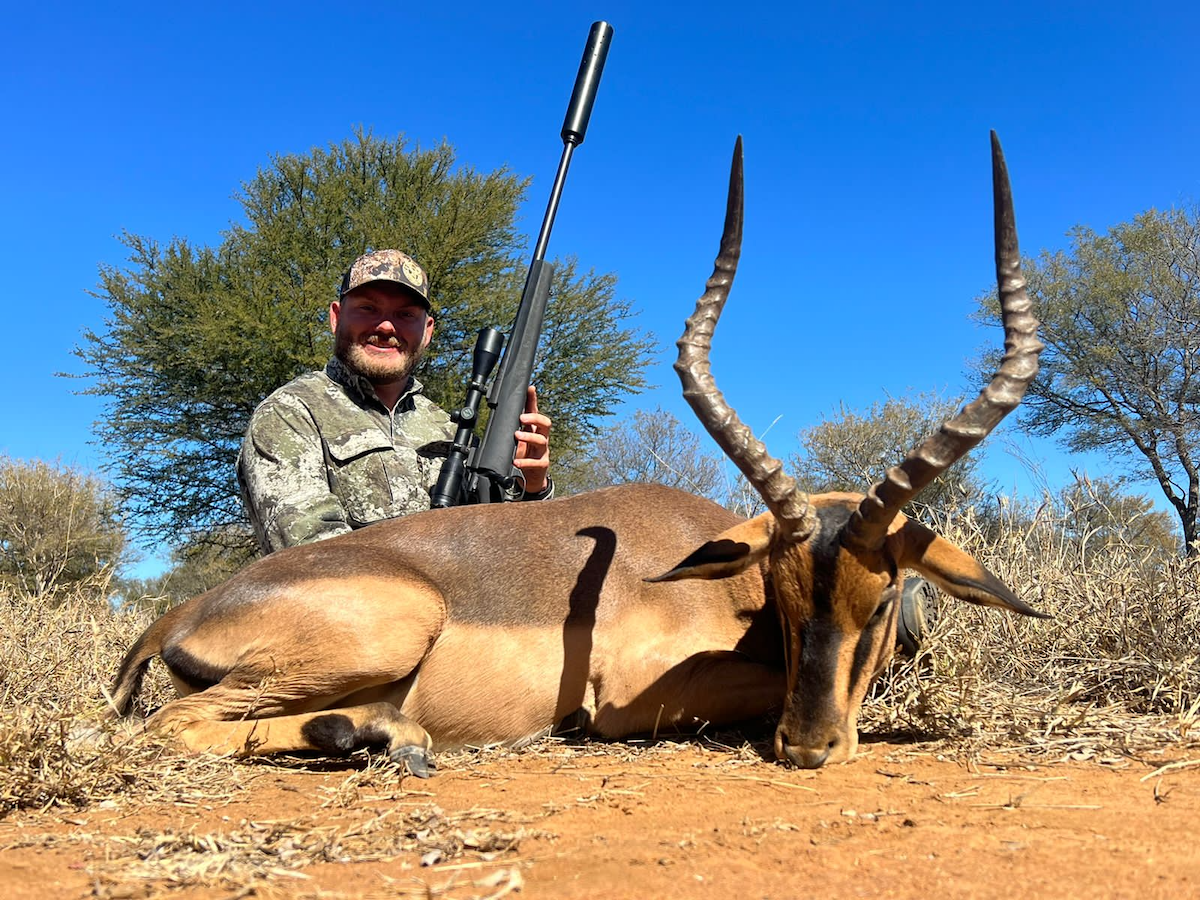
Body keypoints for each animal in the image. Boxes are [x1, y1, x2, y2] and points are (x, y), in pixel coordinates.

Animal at [112, 133, 1046, 773]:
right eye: (780, 597)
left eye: (883, 598)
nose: (808, 745)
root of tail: (180, 614)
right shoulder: (632, 698)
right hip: (386, 630)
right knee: (171, 727)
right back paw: (386, 735)